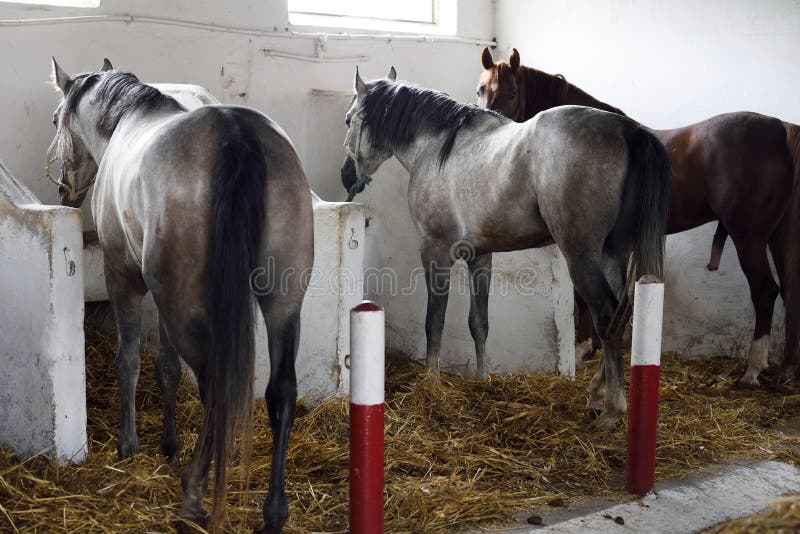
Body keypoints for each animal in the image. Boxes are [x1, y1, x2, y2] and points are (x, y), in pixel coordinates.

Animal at [48, 58, 314, 533]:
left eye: (57, 119)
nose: (64, 190)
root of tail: (237, 135)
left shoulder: (125, 278)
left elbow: (129, 360)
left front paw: (129, 447)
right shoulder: (161, 295)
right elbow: (167, 367)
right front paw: (168, 446)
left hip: (184, 305)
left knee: (214, 385)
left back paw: (194, 491)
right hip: (282, 303)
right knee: (280, 392)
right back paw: (273, 510)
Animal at [340, 66, 670, 427]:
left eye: (348, 120)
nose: (346, 176)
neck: (438, 147)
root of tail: (628, 131)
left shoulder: (435, 253)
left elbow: (434, 322)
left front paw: (430, 384)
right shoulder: (480, 257)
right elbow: (479, 323)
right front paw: (482, 380)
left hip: (582, 256)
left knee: (606, 315)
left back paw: (611, 409)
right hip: (612, 255)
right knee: (618, 319)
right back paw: (597, 396)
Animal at [478, 47, 800, 385]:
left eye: (512, 93)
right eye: (480, 89)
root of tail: (781, 128)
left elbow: (582, 296)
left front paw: (581, 350)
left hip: (748, 237)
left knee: (765, 292)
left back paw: (753, 370)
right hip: (776, 237)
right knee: (790, 293)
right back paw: (786, 368)